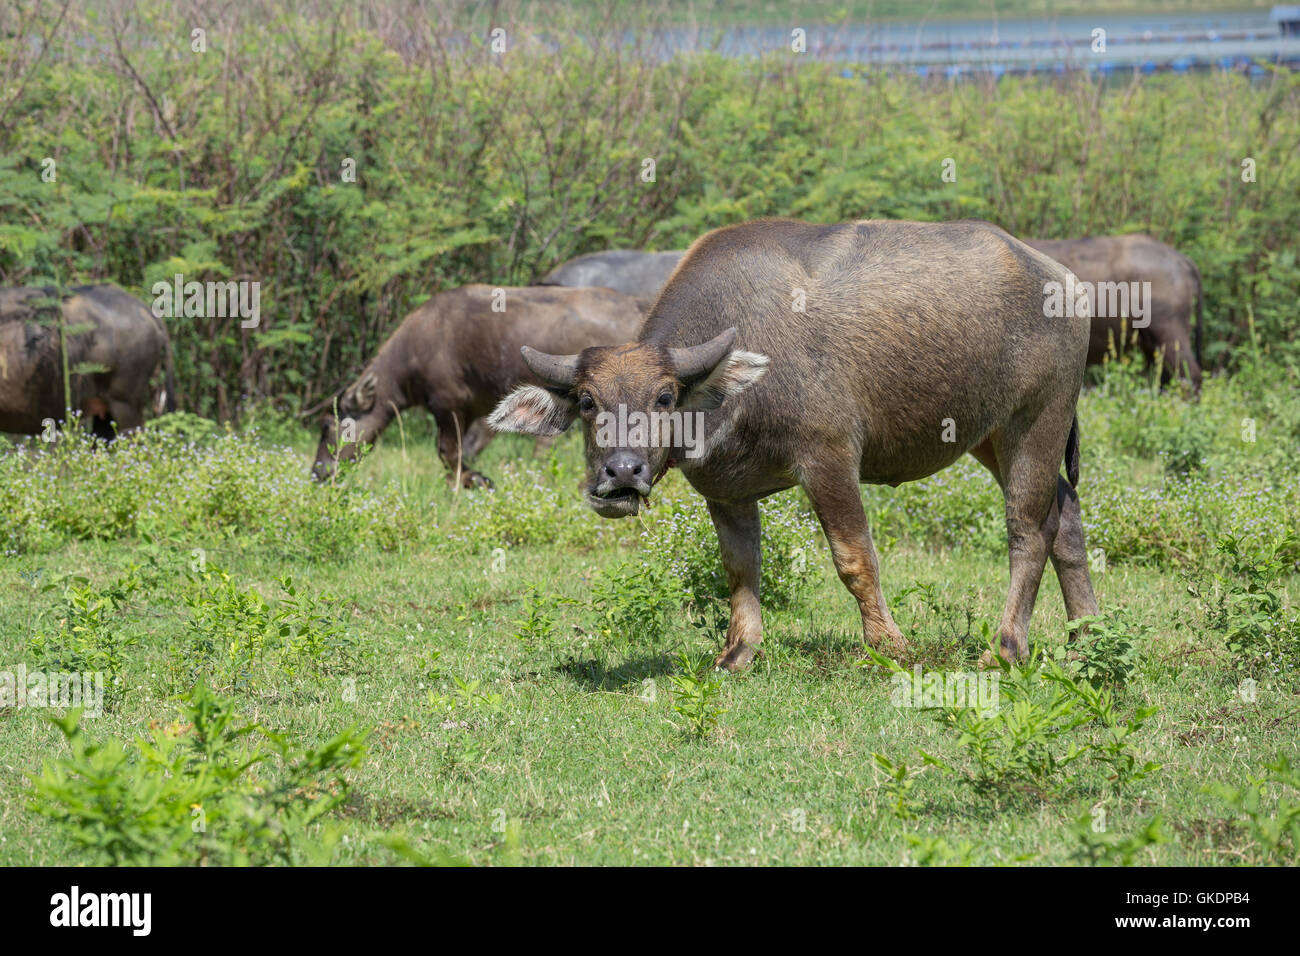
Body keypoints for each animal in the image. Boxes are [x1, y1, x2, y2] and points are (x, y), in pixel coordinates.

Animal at [313, 284, 645, 486]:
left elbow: (448, 452)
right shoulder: (481, 410)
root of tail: (636, 307)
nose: (318, 472)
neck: (417, 347)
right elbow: (469, 449)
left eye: (328, 426)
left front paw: (473, 482)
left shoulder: (448, 406)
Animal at [492, 218, 1099, 669]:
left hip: (1038, 418)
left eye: (664, 398)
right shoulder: (726, 492)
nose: (621, 474)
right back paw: (1087, 637)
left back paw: (1006, 647)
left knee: (1028, 528)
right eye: (587, 402)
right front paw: (738, 652)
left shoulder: (829, 460)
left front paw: (890, 645)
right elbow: (740, 567)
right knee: (1066, 514)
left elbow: (855, 559)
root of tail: (1061, 277)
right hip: (991, 435)